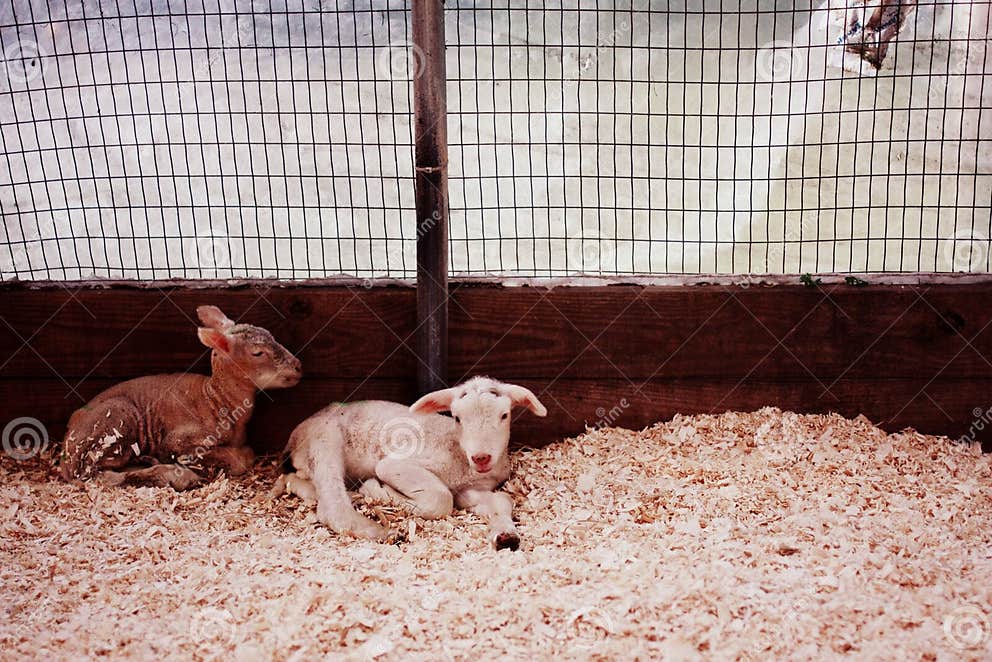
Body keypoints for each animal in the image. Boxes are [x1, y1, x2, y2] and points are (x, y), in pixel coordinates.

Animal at [59, 305, 302, 490]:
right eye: (257, 353)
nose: (298, 366)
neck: (216, 399)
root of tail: (66, 457)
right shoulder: (178, 441)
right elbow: (239, 459)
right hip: (113, 424)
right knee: (101, 476)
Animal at [271, 376, 547, 550]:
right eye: (457, 418)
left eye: (504, 415)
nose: (481, 457)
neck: (458, 453)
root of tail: (293, 440)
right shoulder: (395, 464)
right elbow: (440, 498)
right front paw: (377, 489)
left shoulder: (472, 489)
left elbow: (501, 500)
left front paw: (506, 536)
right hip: (325, 438)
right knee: (333, 506)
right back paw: (382, 529)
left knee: (300, 483)